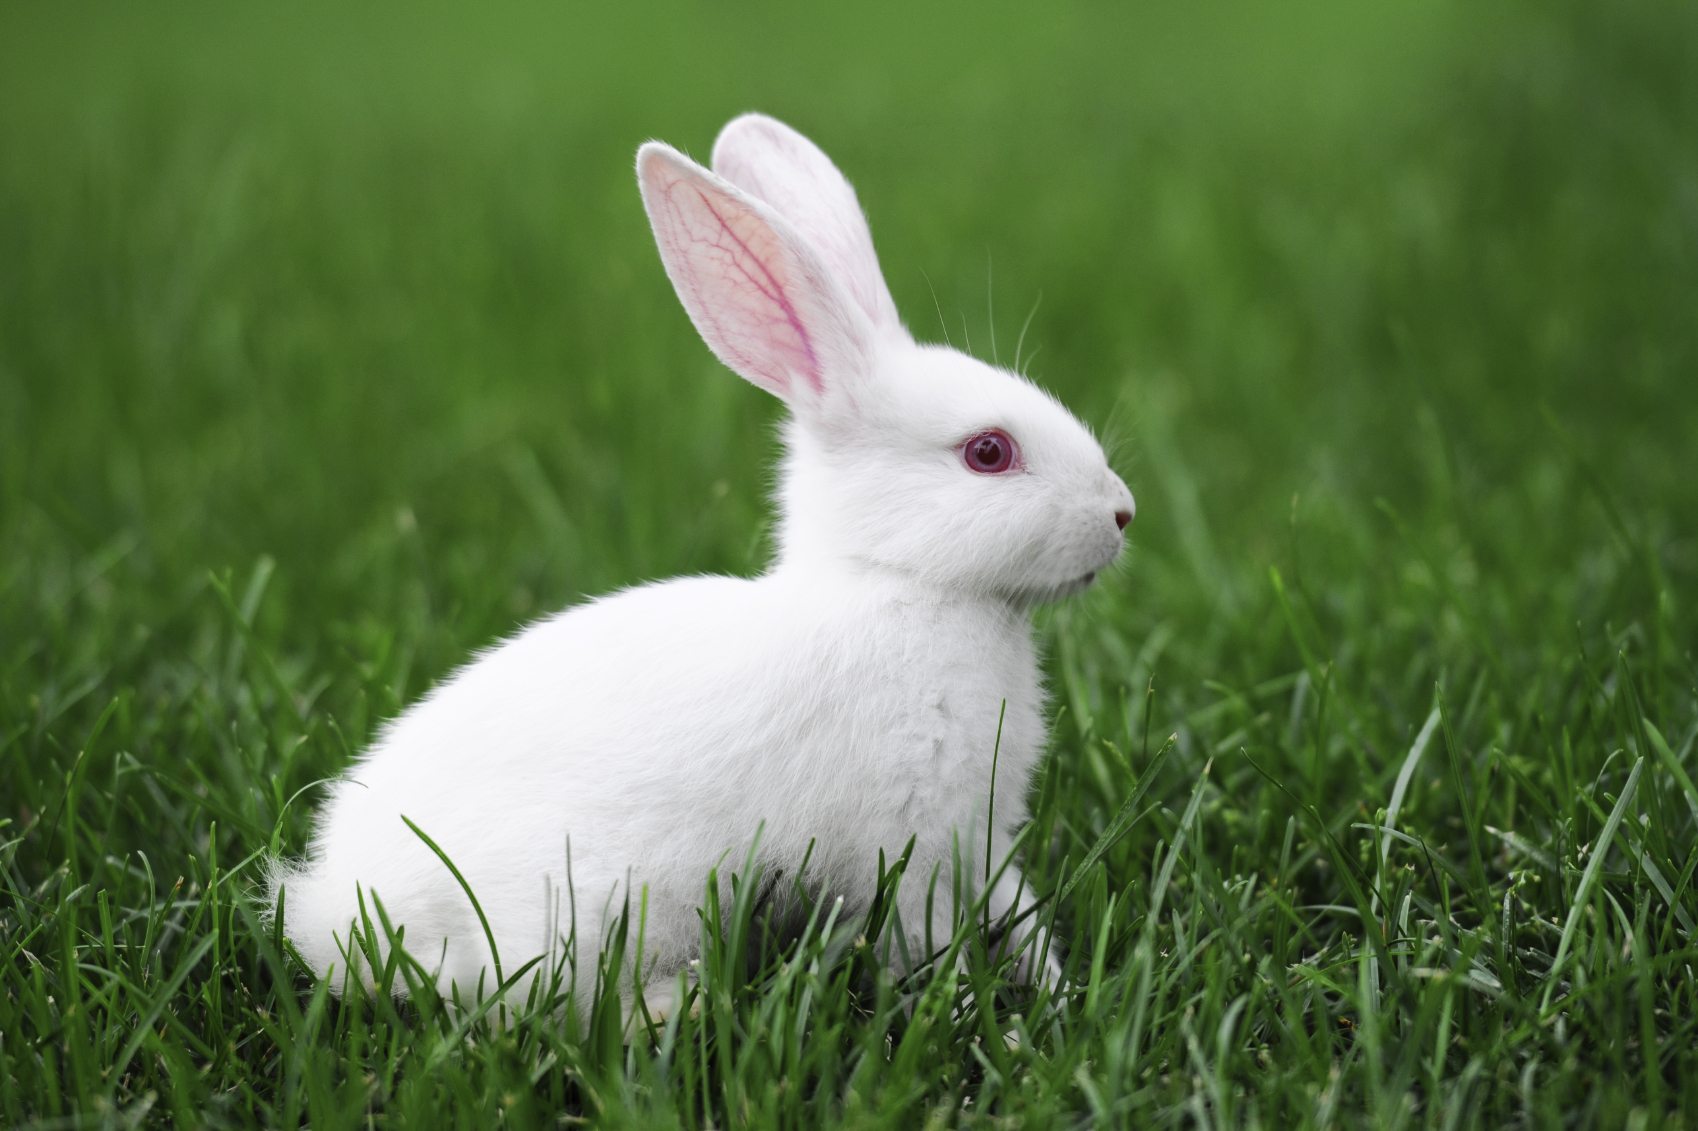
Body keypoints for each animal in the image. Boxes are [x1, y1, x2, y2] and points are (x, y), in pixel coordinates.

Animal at [266, 112, 1135, 1018]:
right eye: (988, 452)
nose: (1122, 513)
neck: (894, 582)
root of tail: (328, 910)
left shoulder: (981, 842)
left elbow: (1018, 911)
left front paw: (1059, 988)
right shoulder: (912, 846)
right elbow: (929, 939)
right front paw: (975, 1008)